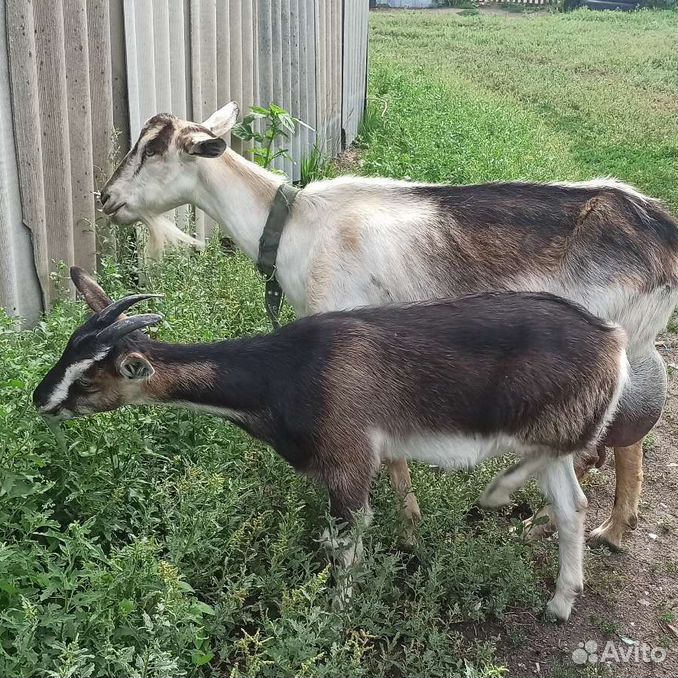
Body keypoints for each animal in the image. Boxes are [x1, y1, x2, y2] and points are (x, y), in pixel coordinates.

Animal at [34, 267, 629, 622]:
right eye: (68, 349)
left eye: (91, 379)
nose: (41, 399)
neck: (280, 373)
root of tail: (613, 340)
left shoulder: (347, 461)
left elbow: (348, 540)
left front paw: (334, 613)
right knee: (572, 506)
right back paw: (559, 601)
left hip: (552, 417)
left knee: (563, 454)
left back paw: (498, 493)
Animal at [99, 102, 678, 550]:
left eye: (152, 151)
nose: (106, 199)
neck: (296, 227)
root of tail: (659, 229)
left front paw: (408, 531)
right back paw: (606, 528)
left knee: (622, 439)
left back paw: (582, 528)